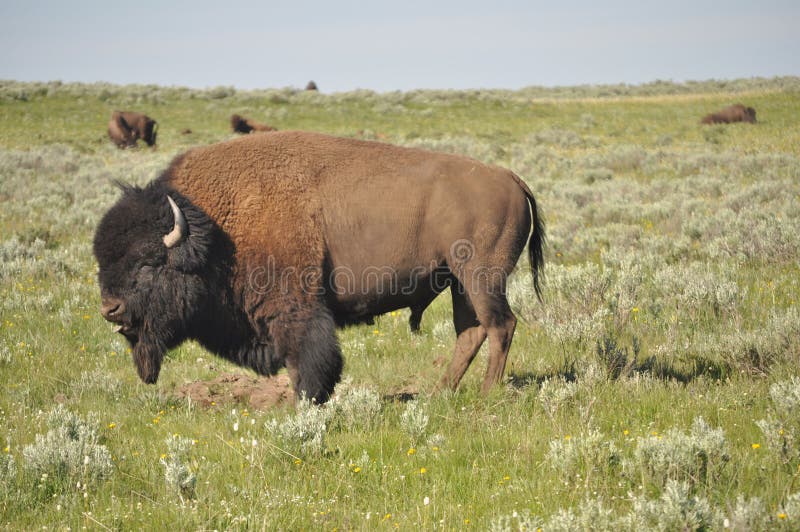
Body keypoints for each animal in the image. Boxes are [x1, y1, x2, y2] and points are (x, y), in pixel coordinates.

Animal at [93, 131, 544, 403]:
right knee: (470, 331)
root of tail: (509, 177)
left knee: (500, 325)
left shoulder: (296, 310)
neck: (215, 227)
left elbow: (308, 362)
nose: (110, 309)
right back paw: (441, 393)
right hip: (458, 282)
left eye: (149, 264)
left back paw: (487, 393)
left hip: (482, 278)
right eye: (103, 260)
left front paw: (306, 405)